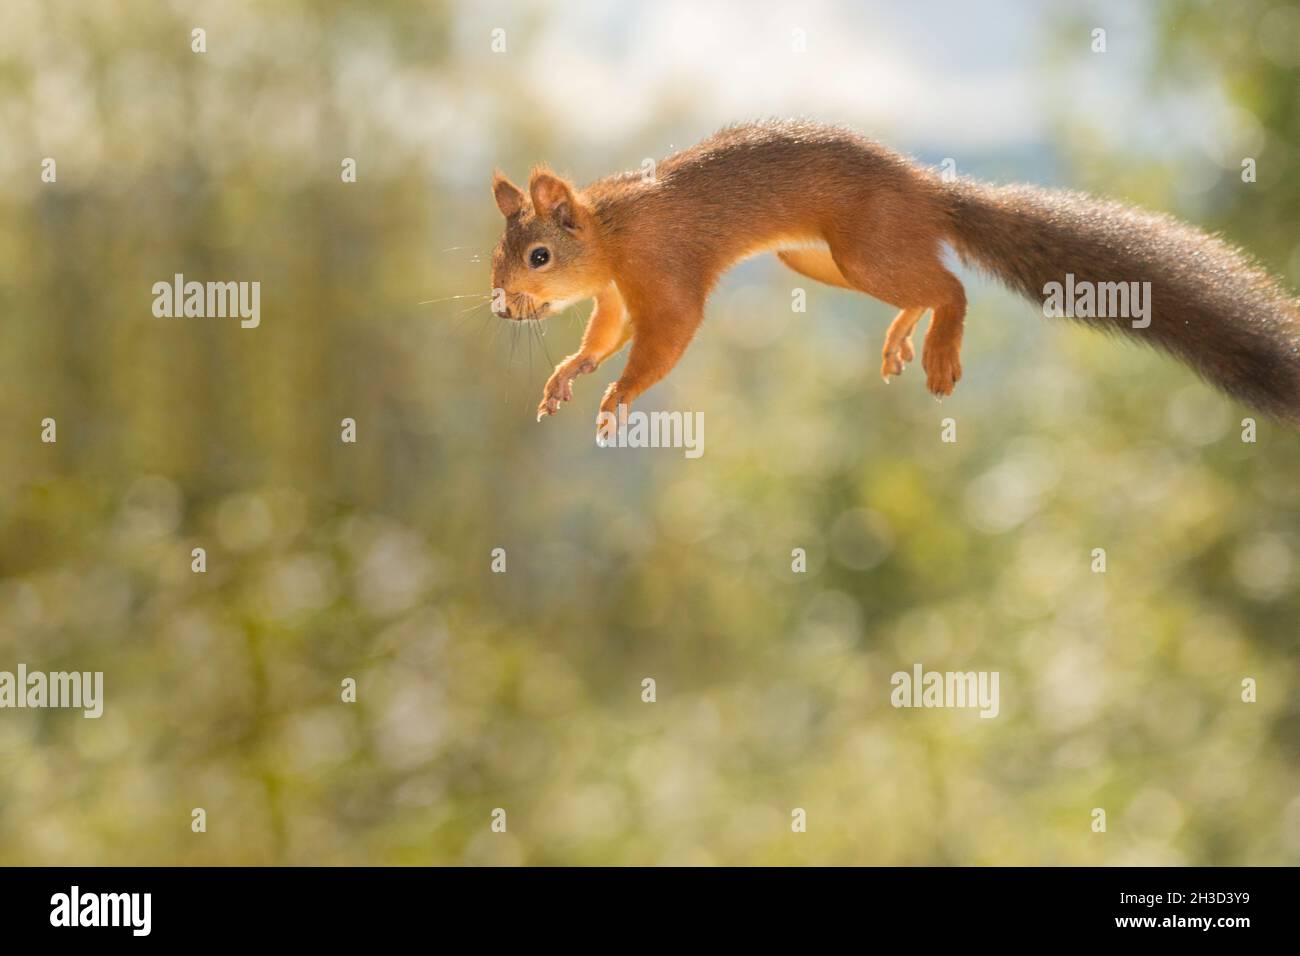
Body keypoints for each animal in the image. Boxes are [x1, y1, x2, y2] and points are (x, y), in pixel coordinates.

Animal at [489, 120, 1300, 432]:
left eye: (538, 256)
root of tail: (926, 190)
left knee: (952, 287)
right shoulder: (615, 295)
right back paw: (904, 335)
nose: (501, 308)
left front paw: (617, 396)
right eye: (495, 253)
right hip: (817, 258)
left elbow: (665, 336)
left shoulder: (666, 272)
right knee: (925, 282)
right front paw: (567, 373)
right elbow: (604, 334)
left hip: (866, 248)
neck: (613, 229)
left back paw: (941, 350)